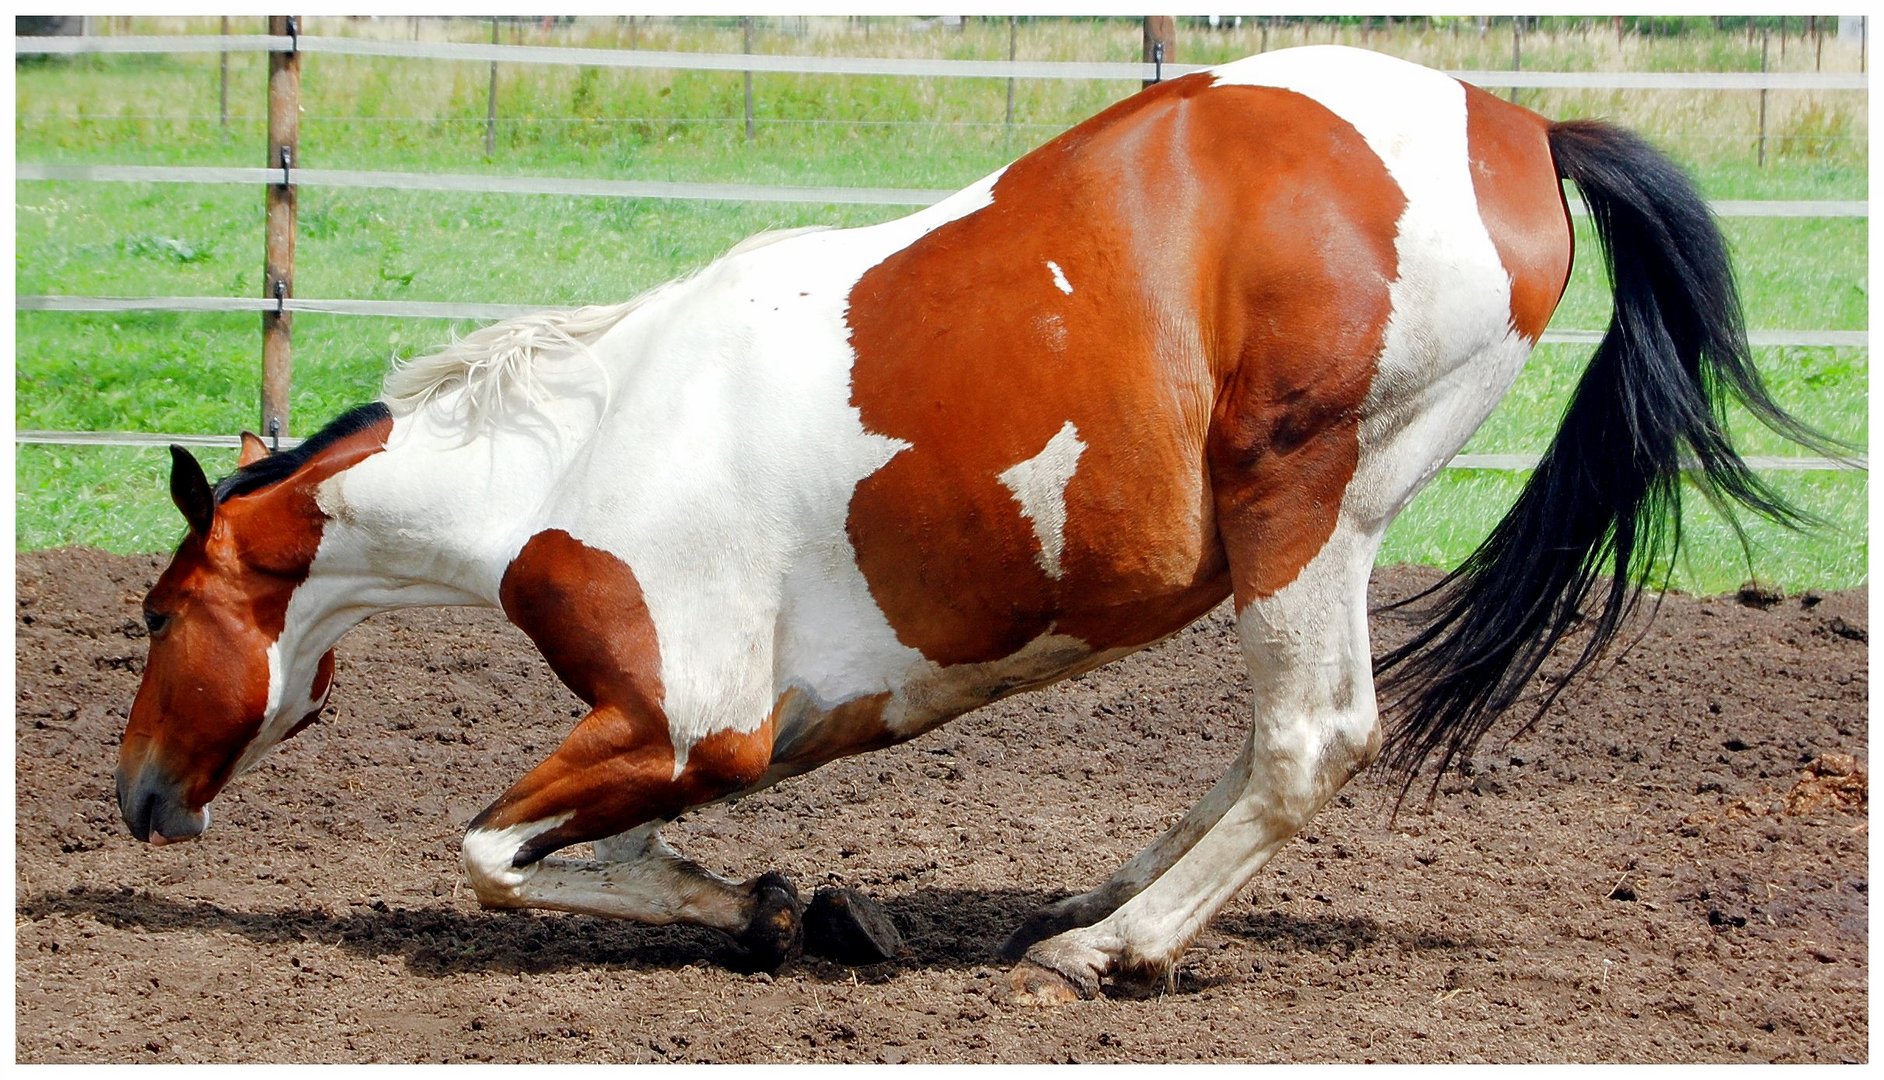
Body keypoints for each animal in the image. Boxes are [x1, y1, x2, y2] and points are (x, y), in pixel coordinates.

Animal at [116, 46, 1835, 1003]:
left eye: (153, 616)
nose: (132, 797)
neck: (559, 458)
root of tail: (1517, 123)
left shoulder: (692, 725)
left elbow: (486, 851)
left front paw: (756, 908)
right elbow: (552, 850)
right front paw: (779, 908)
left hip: (1304, 499)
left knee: (1313, 739)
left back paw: (1104, 952)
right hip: (1323, 522)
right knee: (1273, 739)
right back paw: (1097, 899)